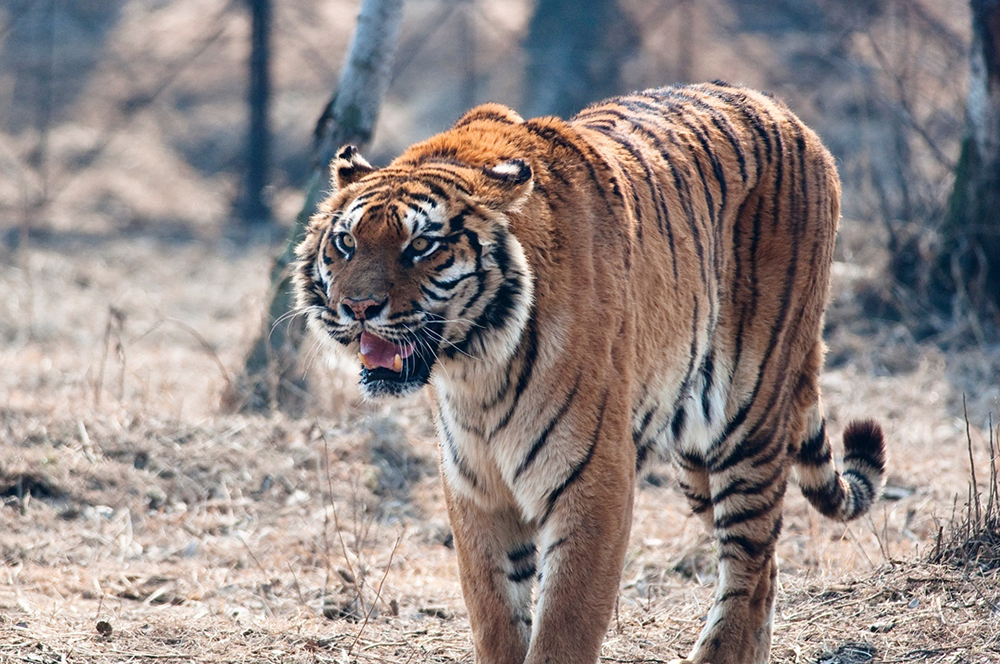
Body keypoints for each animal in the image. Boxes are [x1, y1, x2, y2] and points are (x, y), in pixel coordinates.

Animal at [294, 81, 887, 664]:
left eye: (421, 245)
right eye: (346, 242)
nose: (358, 307)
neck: (475, 367)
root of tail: (787, 114)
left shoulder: (594, 480)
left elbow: (564, 629)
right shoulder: (476, 489)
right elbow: (496, 618)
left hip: (747, 418)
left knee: (747, 564)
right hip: (695, 459)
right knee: (766, 567)